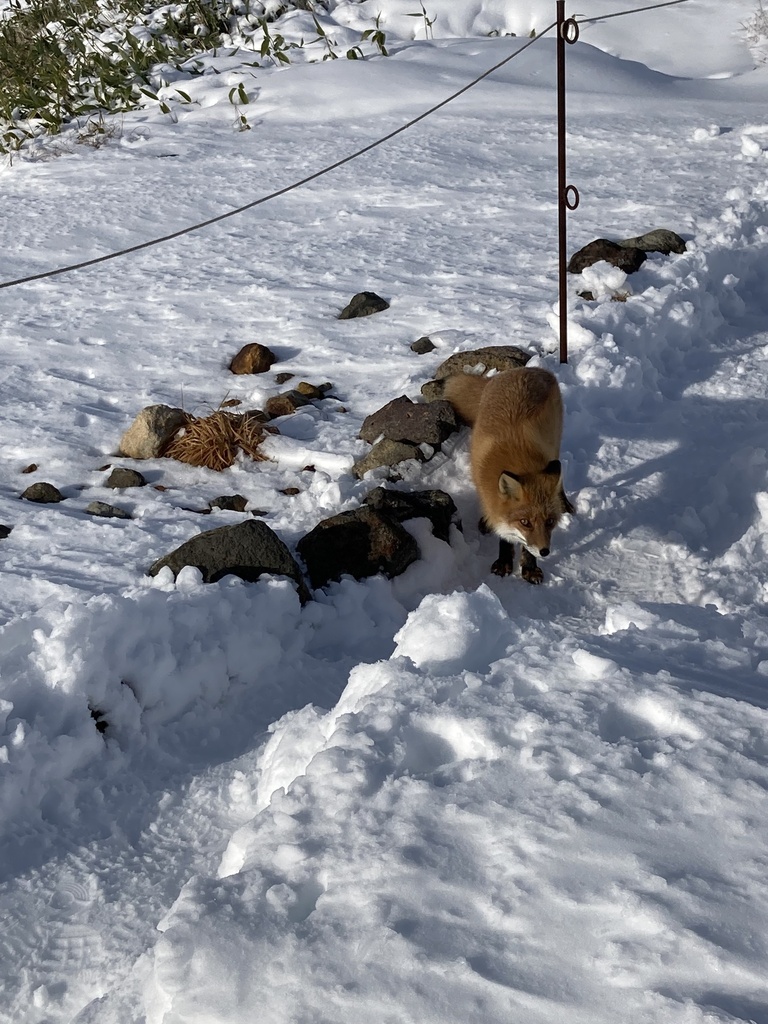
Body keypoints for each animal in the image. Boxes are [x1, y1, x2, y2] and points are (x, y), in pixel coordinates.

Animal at [443, 366, 574, 584]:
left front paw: (529, 567)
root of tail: (528, 369)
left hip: (554, 448)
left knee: (560, 473)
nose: (545, 552)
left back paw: (564, 502)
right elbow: (504, 533)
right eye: (525, 522)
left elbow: (526, 547)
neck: (518, 461)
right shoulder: (491, 498)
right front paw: (504, 561)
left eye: (549, 522)